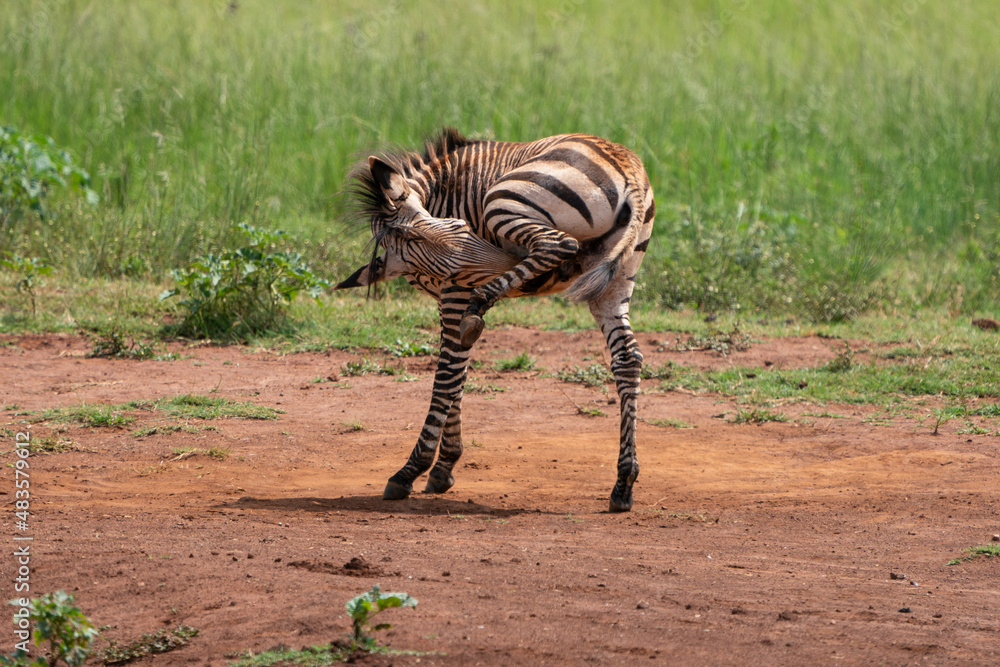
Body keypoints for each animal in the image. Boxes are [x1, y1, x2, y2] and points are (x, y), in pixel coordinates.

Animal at [335, 129, 655, 512]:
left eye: (460, 224)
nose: (504, 266)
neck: (440, 189)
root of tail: (625, 164)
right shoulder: (448, 296)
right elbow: (458, 372)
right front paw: (444, 468)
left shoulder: (453, 293)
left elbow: (448, 373)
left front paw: (415, 469)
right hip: (617, 279)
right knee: (627, 359)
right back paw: (624, 483)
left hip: (504, 199)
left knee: (560, 244)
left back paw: (487, 295)